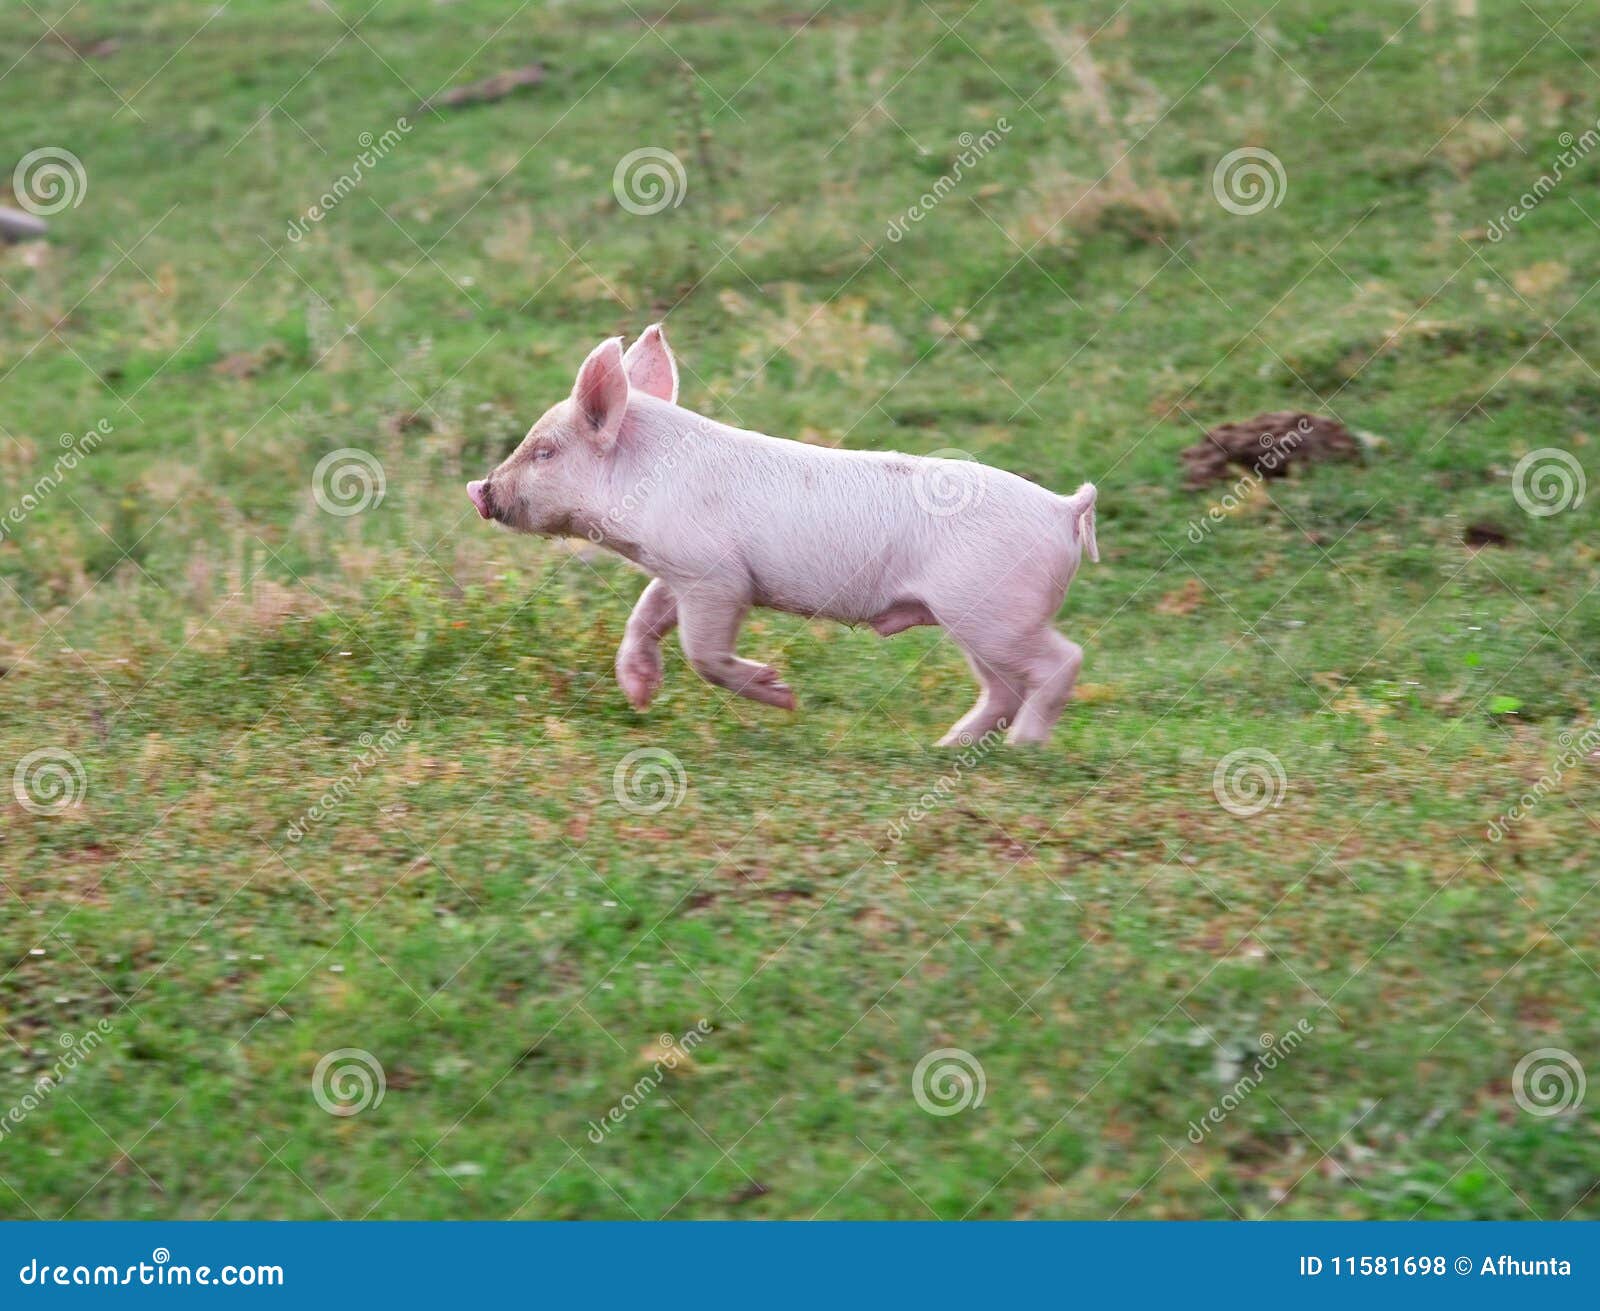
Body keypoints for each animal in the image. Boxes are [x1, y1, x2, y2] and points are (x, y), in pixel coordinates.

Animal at [467, 325, 1099, 745]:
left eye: (544, 451)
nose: (479, 489)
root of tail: (1063, 509)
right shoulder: (678, 570)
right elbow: (643, 616)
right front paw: (640, 695)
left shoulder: (716, 576)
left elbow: (702, 651)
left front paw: (782, 695)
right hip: (975, 619)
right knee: (1003, 688)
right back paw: (945, 747)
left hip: (996, 610)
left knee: (1063, 660)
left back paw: (1023, 746)